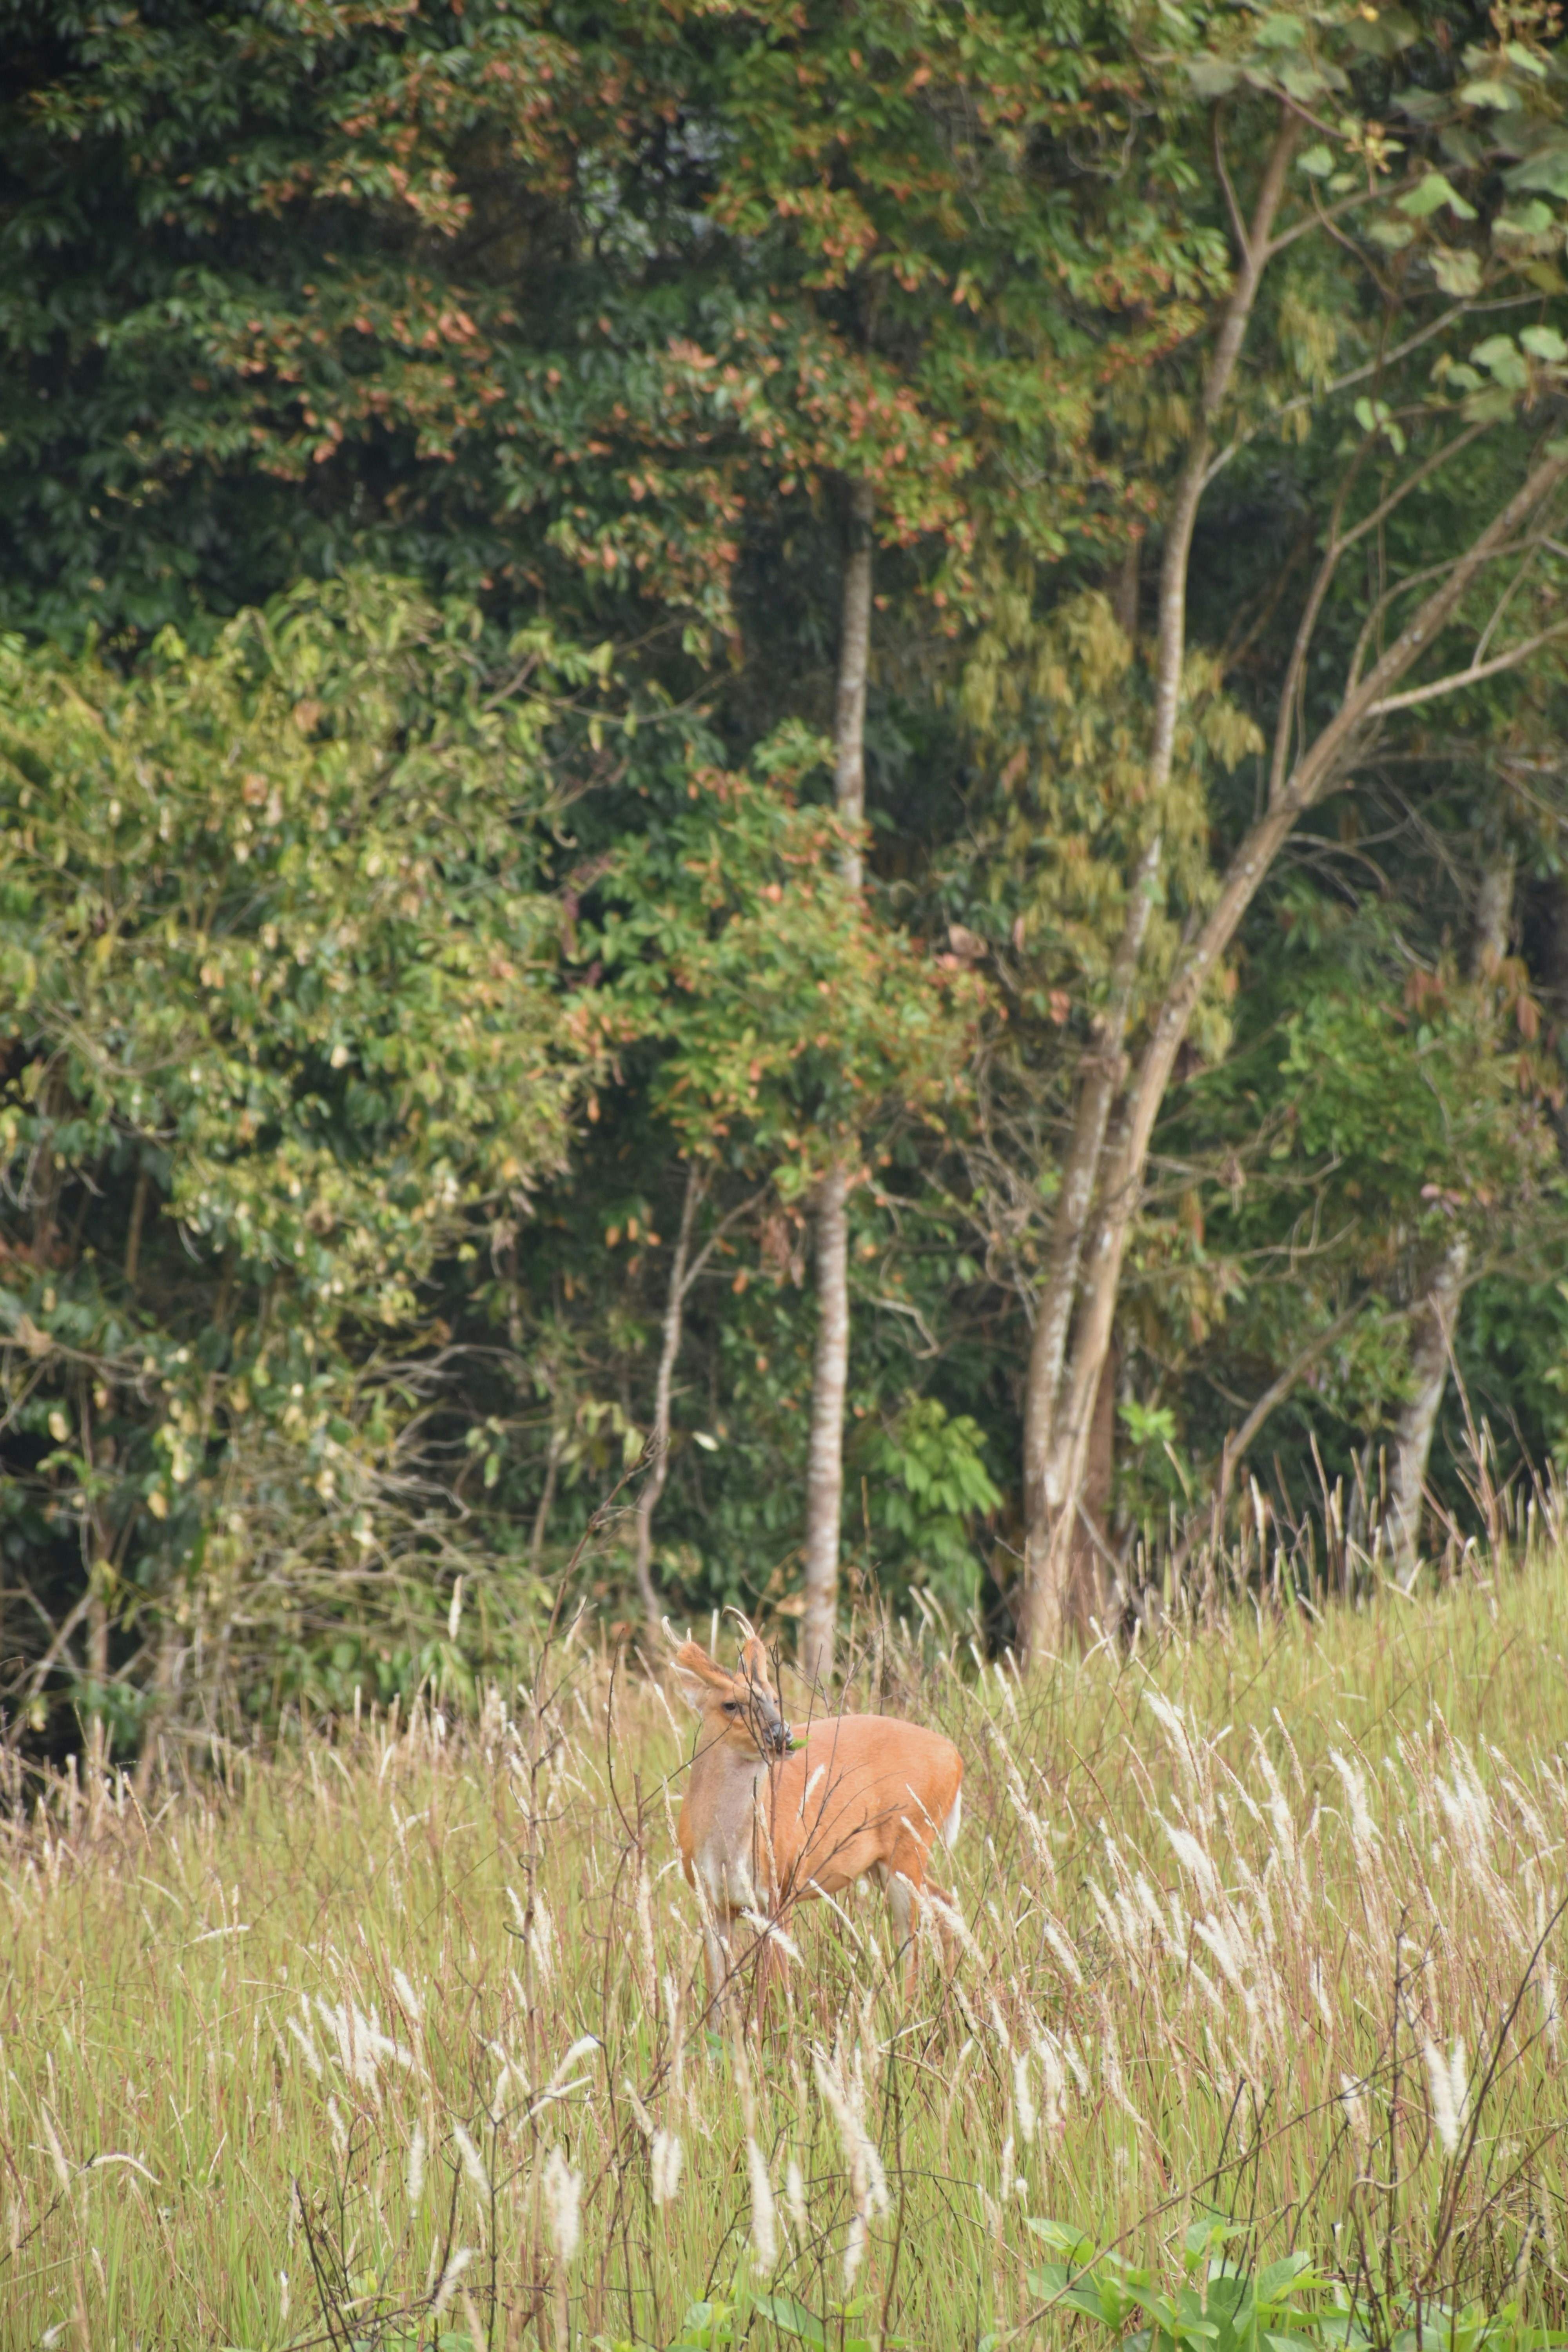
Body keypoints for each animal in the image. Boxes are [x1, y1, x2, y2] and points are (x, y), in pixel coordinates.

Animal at [669, 1630, 963, 2014]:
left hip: (910, 1842)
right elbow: (718, 1998)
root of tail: (956, 1757)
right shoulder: (711, 1901)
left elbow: (775, 1988)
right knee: (945, 1905)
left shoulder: (780, 1886)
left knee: (914, 1936)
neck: (723, 1851)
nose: (782, 1736)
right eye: (730, 1704)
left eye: (775, 1698)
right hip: (885, 1862)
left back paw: (908, 2011)